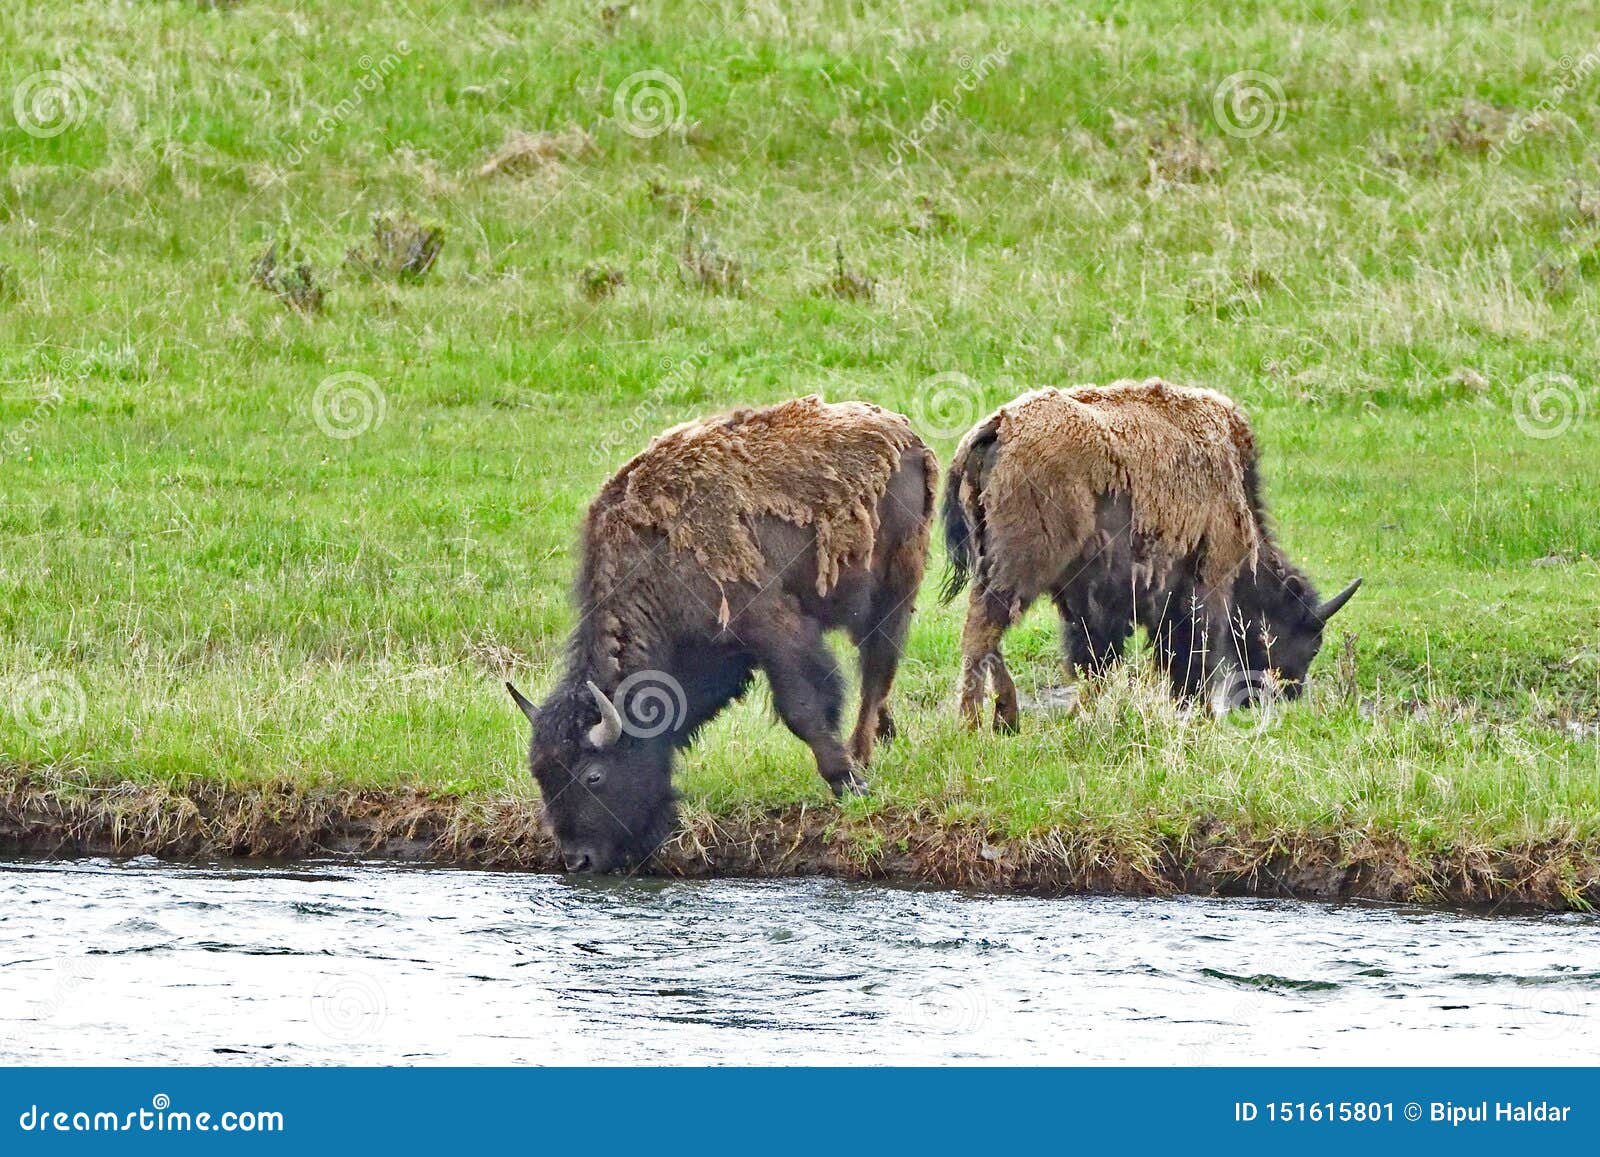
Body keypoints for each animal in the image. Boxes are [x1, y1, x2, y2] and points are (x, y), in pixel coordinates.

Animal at [508, 396, 936, 872]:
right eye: (540, 774)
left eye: (593, 775)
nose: (577, 860)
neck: (651, 562)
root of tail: (901, 432)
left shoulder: (773, 629)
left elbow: (803, 708)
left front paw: (847, 783)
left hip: (893, 589)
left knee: (877, 666)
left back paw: (861, 753)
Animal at [941, 379, 1359, 729]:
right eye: (1309, 640)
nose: (1288, 693)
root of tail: (998, 427)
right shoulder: (1207, 579)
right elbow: (1195, 650)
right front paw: (1201, 714)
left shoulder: (1093, 599)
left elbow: (1097, 659)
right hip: (1021, 567)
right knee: (983, 630)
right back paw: (973, 723)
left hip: (994, 565)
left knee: (988, 635)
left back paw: (1003, 720)